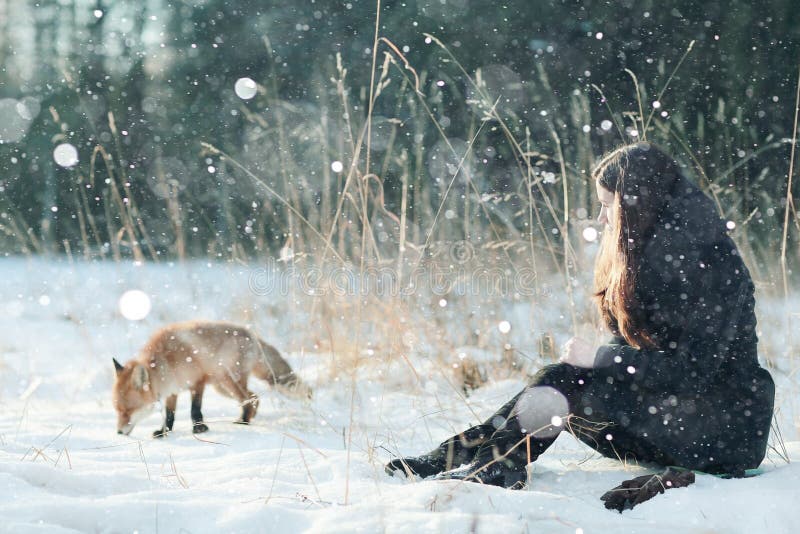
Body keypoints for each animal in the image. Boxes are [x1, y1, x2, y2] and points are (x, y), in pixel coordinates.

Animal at [112, 320, 310, 437]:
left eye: (127, 411)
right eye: (118, 411)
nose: (119, 432)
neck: (167, 363)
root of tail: (252, 334)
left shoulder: (198, 381)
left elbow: (195, 410)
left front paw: (199, 429)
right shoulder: (173, 390)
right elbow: (170, 415)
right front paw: (164, 432)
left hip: (230, 381)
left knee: (248, 398)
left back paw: (243, 422)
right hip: (222, 387)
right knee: (254, 397)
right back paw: (248, 418)